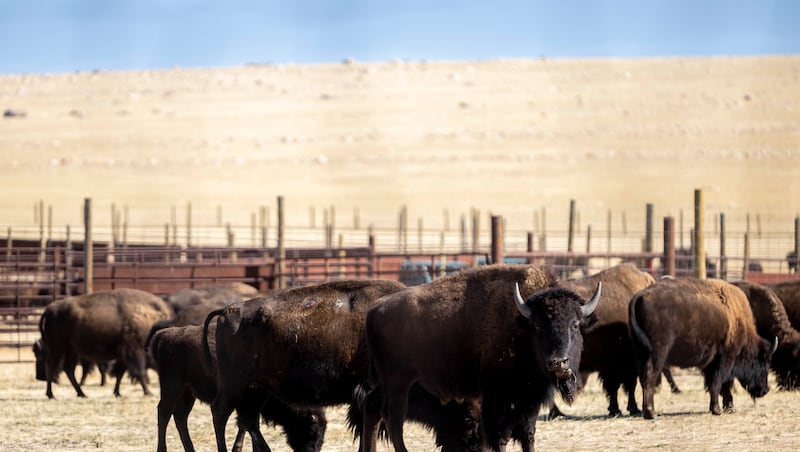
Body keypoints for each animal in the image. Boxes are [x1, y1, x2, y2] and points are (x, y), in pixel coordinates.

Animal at [34, 288, 172, 398]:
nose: (38, 377)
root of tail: (50, 309)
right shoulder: (135, 351)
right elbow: (139, 371)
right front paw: (148, 392)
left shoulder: (124, 355)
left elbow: (120, 373)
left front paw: (117, 392)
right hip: (58, 347)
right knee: (52, 366)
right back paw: (51, 394)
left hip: (71, 350)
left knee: (68, 369)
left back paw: (81, 393)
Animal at [361, 264, 600, 452]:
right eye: (538, 326)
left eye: (575, 325)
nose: (558, 362)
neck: (520, 326)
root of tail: (374, 310)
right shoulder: (498, 398)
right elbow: (500, 437)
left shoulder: (529, 399)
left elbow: (528, 435)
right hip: (398, 384)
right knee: (394, 420)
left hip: (392, 383)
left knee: (372, 408)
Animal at [629, 277, 775, 419]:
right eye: (763, 362)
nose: (765, 390)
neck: (734, 315)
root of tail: (640, 295)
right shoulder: (726, 358)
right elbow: (718, 382)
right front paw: (718, 410)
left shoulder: (711, 363)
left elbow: (717, 384)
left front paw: (726, 407)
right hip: (658, 352)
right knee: (650, 375)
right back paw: (651, 413)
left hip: (640, 352)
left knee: (641, 378)